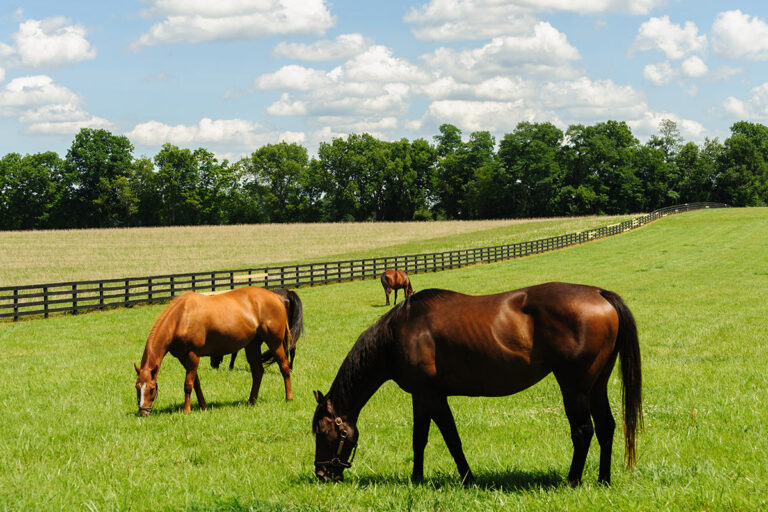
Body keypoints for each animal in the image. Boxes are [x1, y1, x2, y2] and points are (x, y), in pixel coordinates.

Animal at [134, 286, 294, 416]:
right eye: (137, 387)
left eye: (152, 389)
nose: (143, 412)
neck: (181, 317)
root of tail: (277, 297)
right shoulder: (183, 357)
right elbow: (196, 382)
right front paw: (203, 405)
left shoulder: (193, 355)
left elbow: (188, 384)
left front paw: (187, 410)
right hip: (252, 345)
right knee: (258, 372)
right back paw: (251, 401)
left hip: (275, 343)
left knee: (284, 366)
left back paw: (289, 398)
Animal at [312, 282, 642, 486]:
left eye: (325, 431)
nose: (322, 473)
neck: (397, 332)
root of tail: (600, 294)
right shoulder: (421, 397)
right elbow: (419, 439)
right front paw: (417, 478)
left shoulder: (433, 396)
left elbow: (452, 439)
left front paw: (467, 478)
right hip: (596, 385)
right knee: (606, 426)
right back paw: (603, 480)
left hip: (574, 387)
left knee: (583, 431)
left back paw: (573, 480)